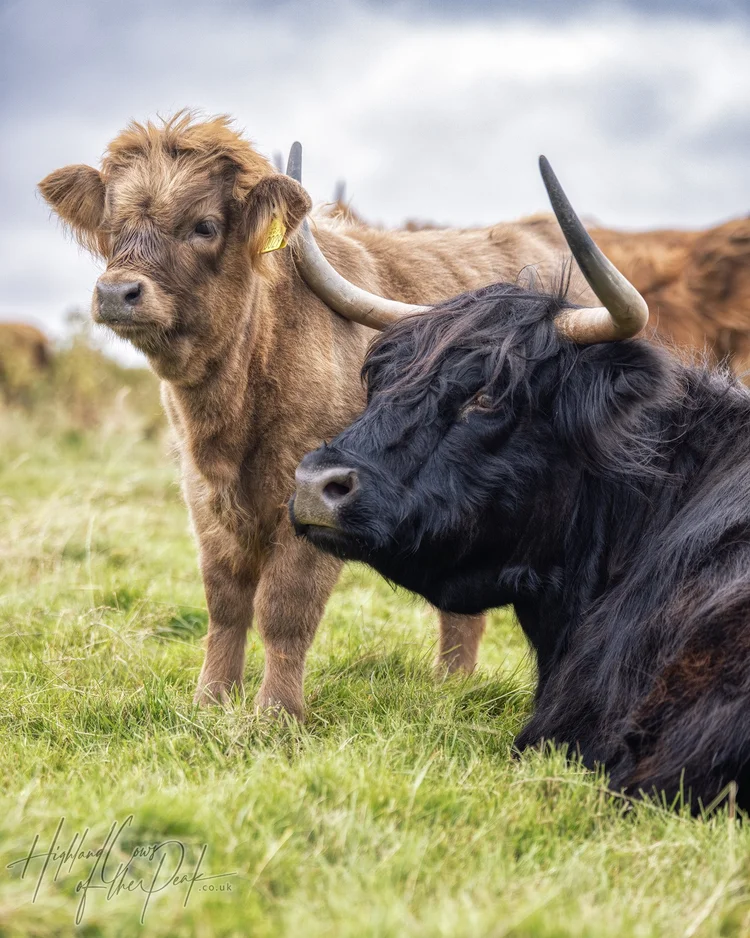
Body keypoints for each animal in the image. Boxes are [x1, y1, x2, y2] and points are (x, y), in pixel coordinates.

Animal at [38, 112, 592, 720]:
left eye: (204, 226)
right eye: (111, 226)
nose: (117, 293)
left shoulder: (313, 498)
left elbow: (285, 607)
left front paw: (275, 715)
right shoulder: (204, 500)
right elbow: (225, 601)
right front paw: (211, 701)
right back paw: (451, 687)